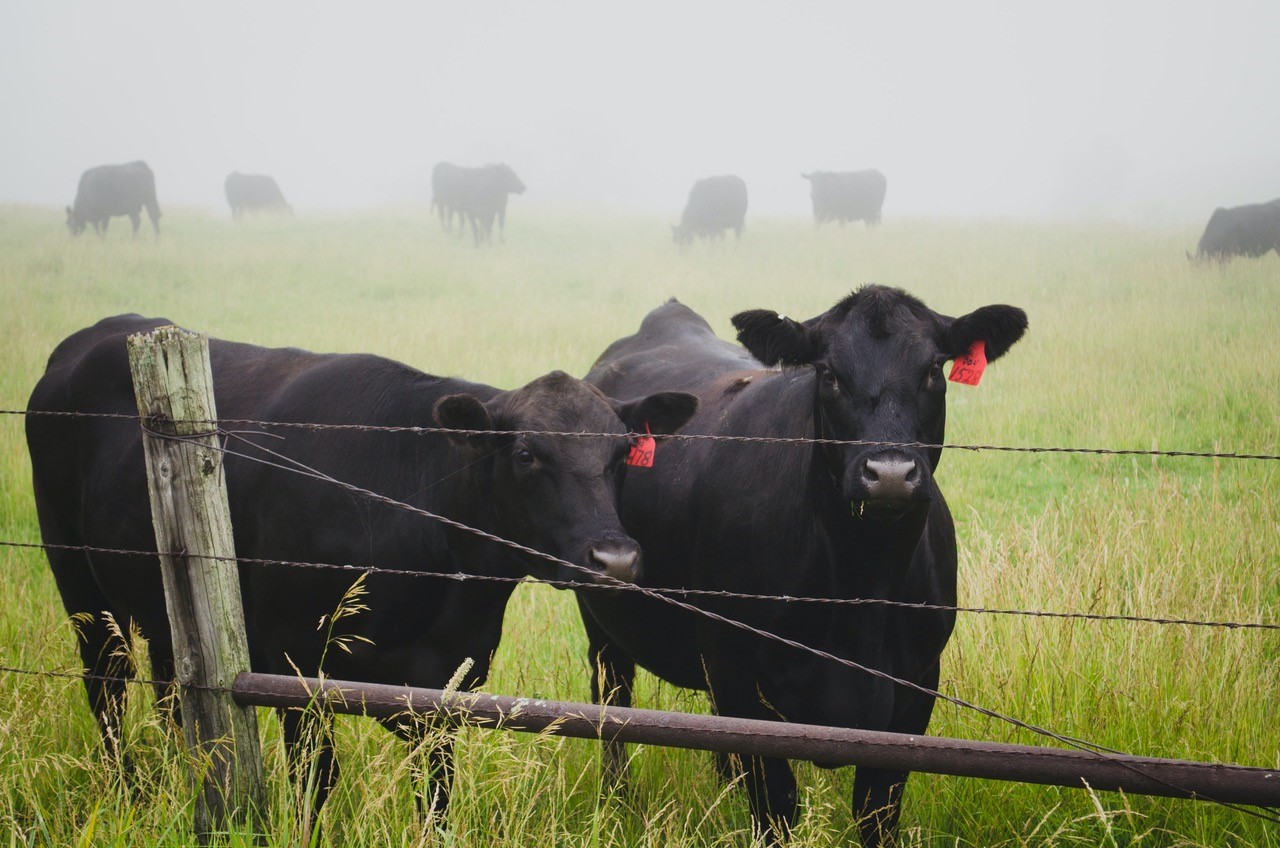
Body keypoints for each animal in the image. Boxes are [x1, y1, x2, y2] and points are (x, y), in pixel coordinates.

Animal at [26, 314, 696, 826]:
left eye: (621, 454)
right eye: (528, 454)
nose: (615, 558)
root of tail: (100, 333)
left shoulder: (447, 686)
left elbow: (436, 795)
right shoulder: (293, 667)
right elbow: (316, 781)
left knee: (171, 692)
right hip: (78, 584)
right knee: (107, 686)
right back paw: (129, 793)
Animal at [580, 288, 1027, 846]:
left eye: (932, 369)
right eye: (829, 373)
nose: (890, 473)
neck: (862, 587)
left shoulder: (917, 687)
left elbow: (877, 810)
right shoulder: (738, 676)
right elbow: (775, 804)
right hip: (603, 620)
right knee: (612, 706)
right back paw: (616, 802)